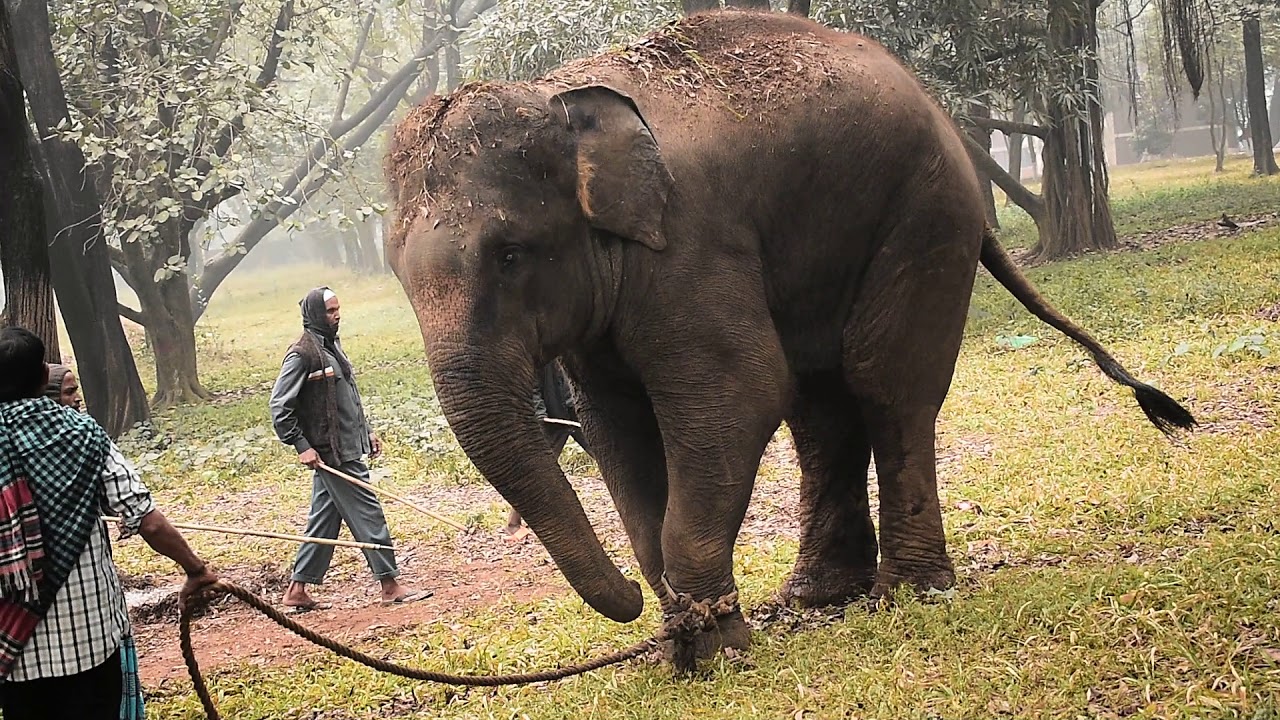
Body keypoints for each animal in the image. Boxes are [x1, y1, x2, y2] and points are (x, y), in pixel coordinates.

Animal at [384, 9, 1195, 660]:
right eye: (394, 272)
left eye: (510, 254)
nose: (635, 608)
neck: (555, 93)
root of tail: (945, 120)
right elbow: (617, 427)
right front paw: (682, 638)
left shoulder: (691, 247)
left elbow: (735, 397)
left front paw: (715, 648)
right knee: (821, 403)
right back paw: (820, 595)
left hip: (926, 215)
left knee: (885, 383)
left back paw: (909, 594)